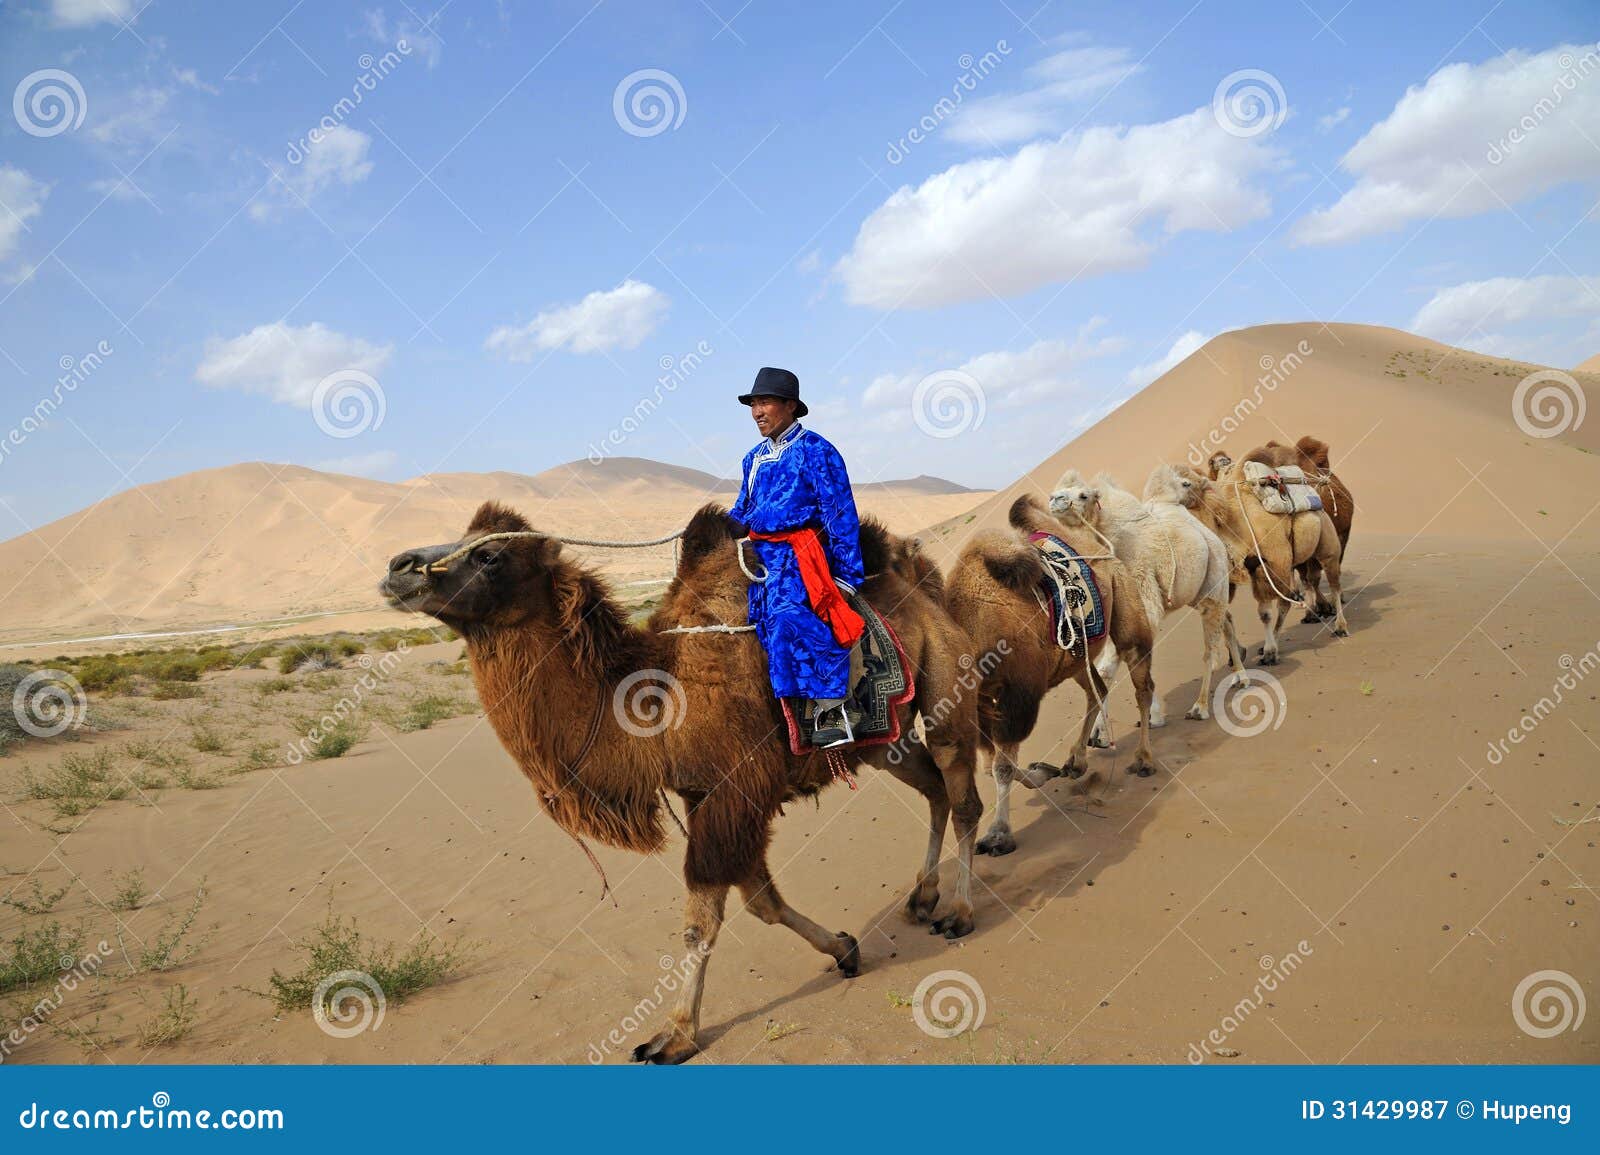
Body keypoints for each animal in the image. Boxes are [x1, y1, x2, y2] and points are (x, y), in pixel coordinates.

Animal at [380, 500, 982, 1064]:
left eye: (489, 555)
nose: (397, 567)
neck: (659, 698)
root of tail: (921, 578)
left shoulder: (734, 790)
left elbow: (701, 921)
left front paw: (674, 1035)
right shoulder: (705, 794)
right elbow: (761, 900)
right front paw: (844, 947)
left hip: (945, 687)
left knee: (962, 796)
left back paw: (958, 913)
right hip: (884, 742)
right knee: (933, 788)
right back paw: (923, 897)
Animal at [944, 494, 1157, 857]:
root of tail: (1095, 546)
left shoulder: (1019, 695)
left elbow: (1001, 765)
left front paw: (999, 834)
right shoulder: (981, 701)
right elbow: (992, 763)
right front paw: (1042, 772)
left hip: (1125, 604)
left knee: (1142, 682)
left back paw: (1143, 759)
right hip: (1075, 657)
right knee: (1097, 689)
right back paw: (1076, 761)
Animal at [1048, 469, 1246, 740]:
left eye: (1083, 495)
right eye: (1059, 488)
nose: (1054, 498)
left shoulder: (1144, 602)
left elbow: (1121, 664)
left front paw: (1152, 717)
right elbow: (1106, 670)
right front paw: (1099, 734)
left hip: (1214, 578)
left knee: (1209, 648)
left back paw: (1200, 707)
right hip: (1199, 592)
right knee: (1227, 622)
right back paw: (1241, 678)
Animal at [1163, 462, 1349, 663]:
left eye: (1186, 484)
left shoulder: (1272, 562)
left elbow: (1266, 612)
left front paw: (1269, 653)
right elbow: (1225, 614)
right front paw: (1238, 653)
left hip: (1326, 546)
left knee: (1333, 585)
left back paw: (1340, 627)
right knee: (1302, 586)